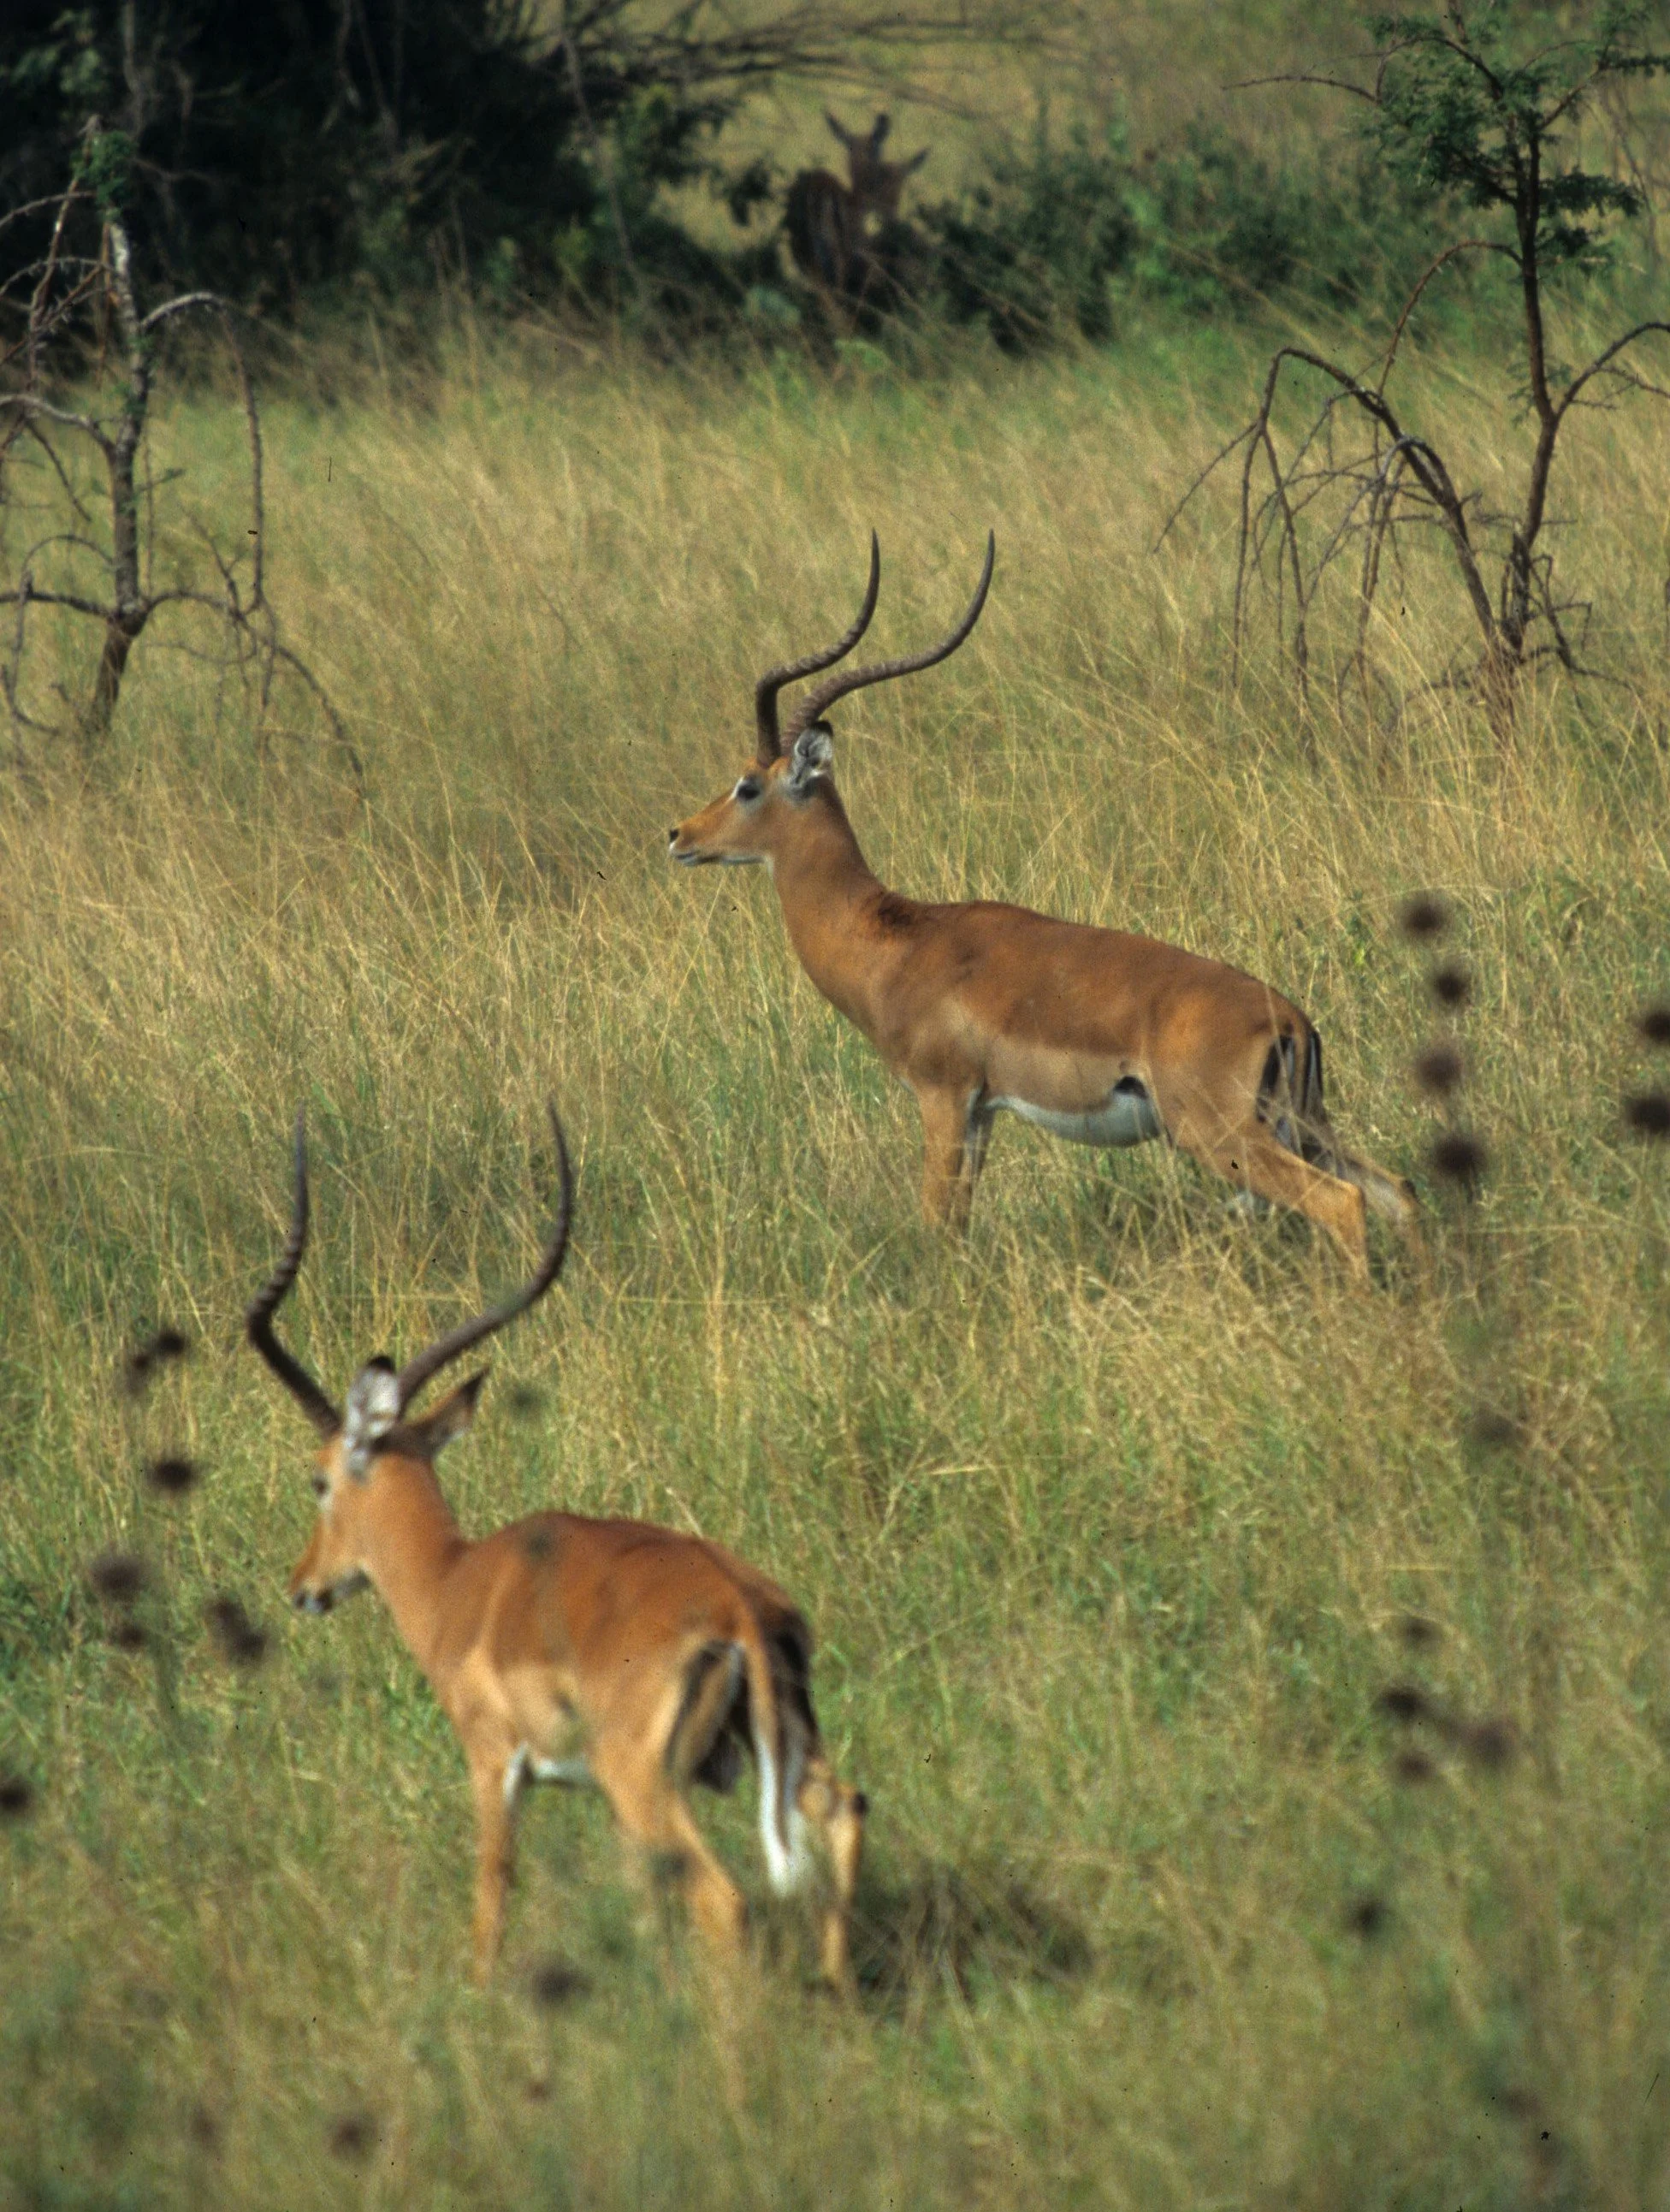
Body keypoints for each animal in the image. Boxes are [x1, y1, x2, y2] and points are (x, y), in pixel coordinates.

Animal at [246, 1106, 866, 1987]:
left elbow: (493, 1890)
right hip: (768, 1750)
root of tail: (739, 1607)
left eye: (318, 1479)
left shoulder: (493, 1763)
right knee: (842, 1813)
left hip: (644, 1777)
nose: (304, 1585)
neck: (456, 1581)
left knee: (726, 1899)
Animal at [667, 538, 1421, 1277]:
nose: (679, 835)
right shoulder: (982, 1113)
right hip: (1305, 1126)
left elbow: (936, 1224)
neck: (897, 940)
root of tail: (1290, 1017)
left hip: (1221, 1135)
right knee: (1397, 1189)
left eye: (747, 785)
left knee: (1344, 1201)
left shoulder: (944, 1098)